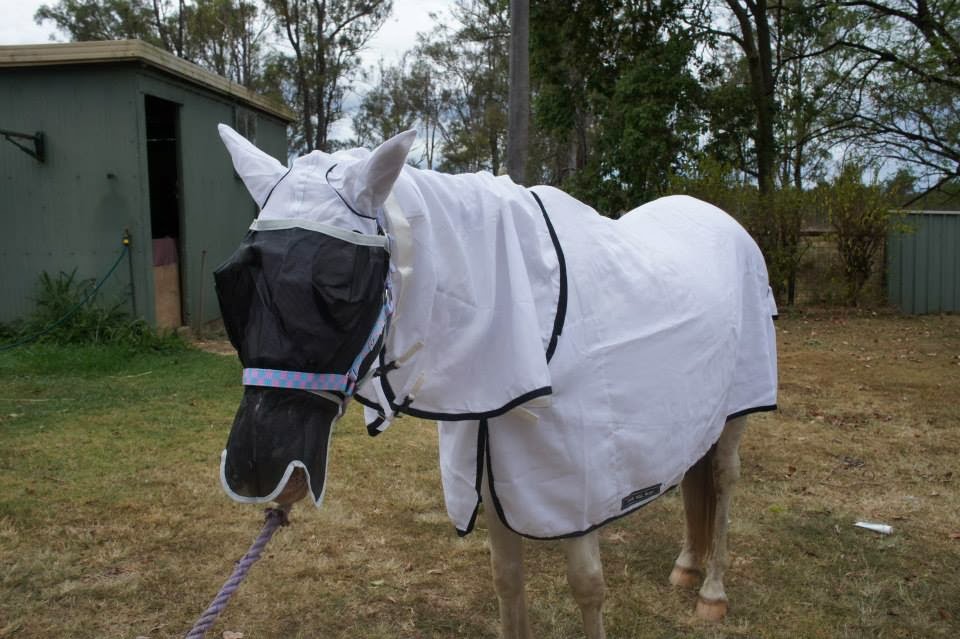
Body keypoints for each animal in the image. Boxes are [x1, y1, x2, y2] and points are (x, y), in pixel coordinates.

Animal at [212, 124, 778, 639]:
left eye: (337, 289)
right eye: (233, 283)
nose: (257, 470)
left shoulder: (579, 490)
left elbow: (587, 585)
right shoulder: (491, 462)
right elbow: (506, 578)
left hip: (737, 412)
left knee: (723, 480)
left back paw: (712, 592)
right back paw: (686, 566)